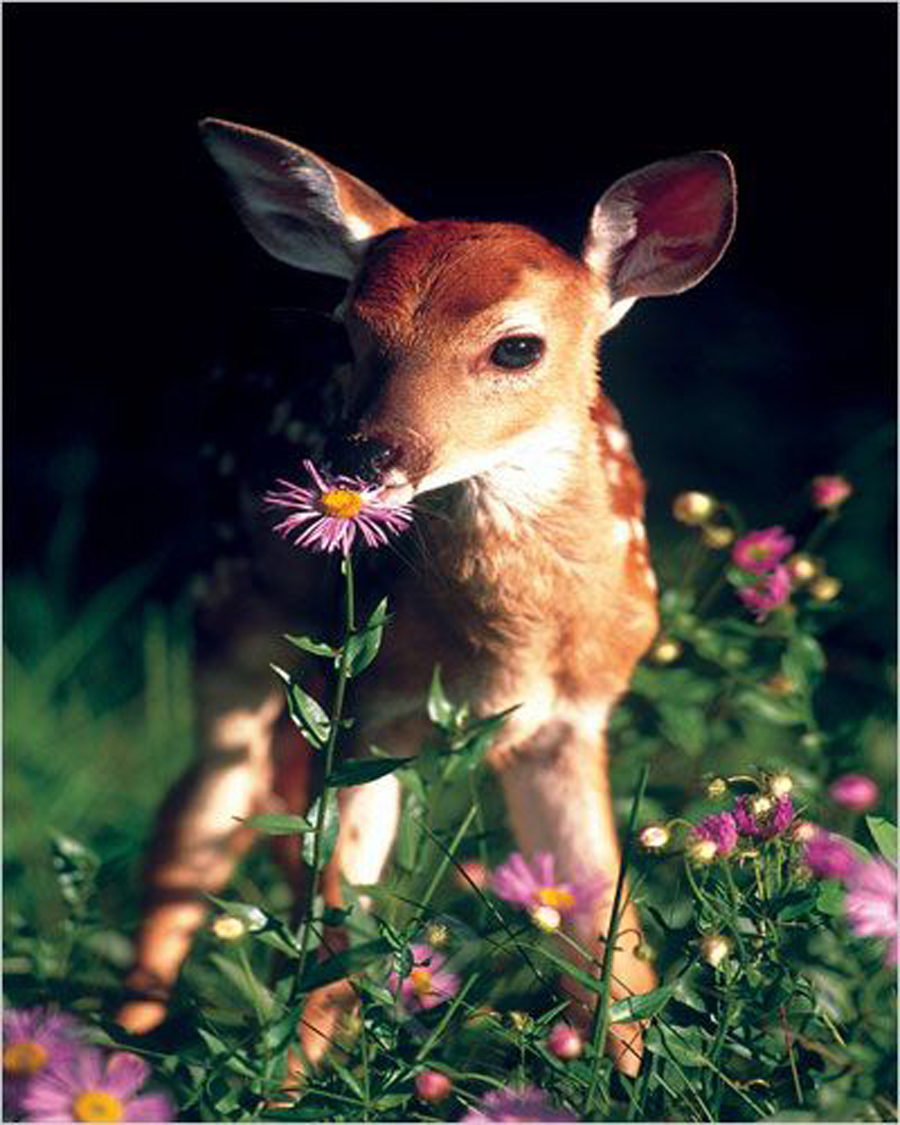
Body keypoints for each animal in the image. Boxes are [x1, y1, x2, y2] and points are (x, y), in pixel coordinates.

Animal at [116, 119, 736, 1080]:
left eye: (517, 346)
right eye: (351, 330)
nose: (362, 454)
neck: (510, 648)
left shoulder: (572, 720)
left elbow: (607, 934)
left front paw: (634, 1077)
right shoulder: (373, 712)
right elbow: (340, 942)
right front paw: (287, 1090)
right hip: (227, 615)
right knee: (199, 819)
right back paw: (125, 1038)